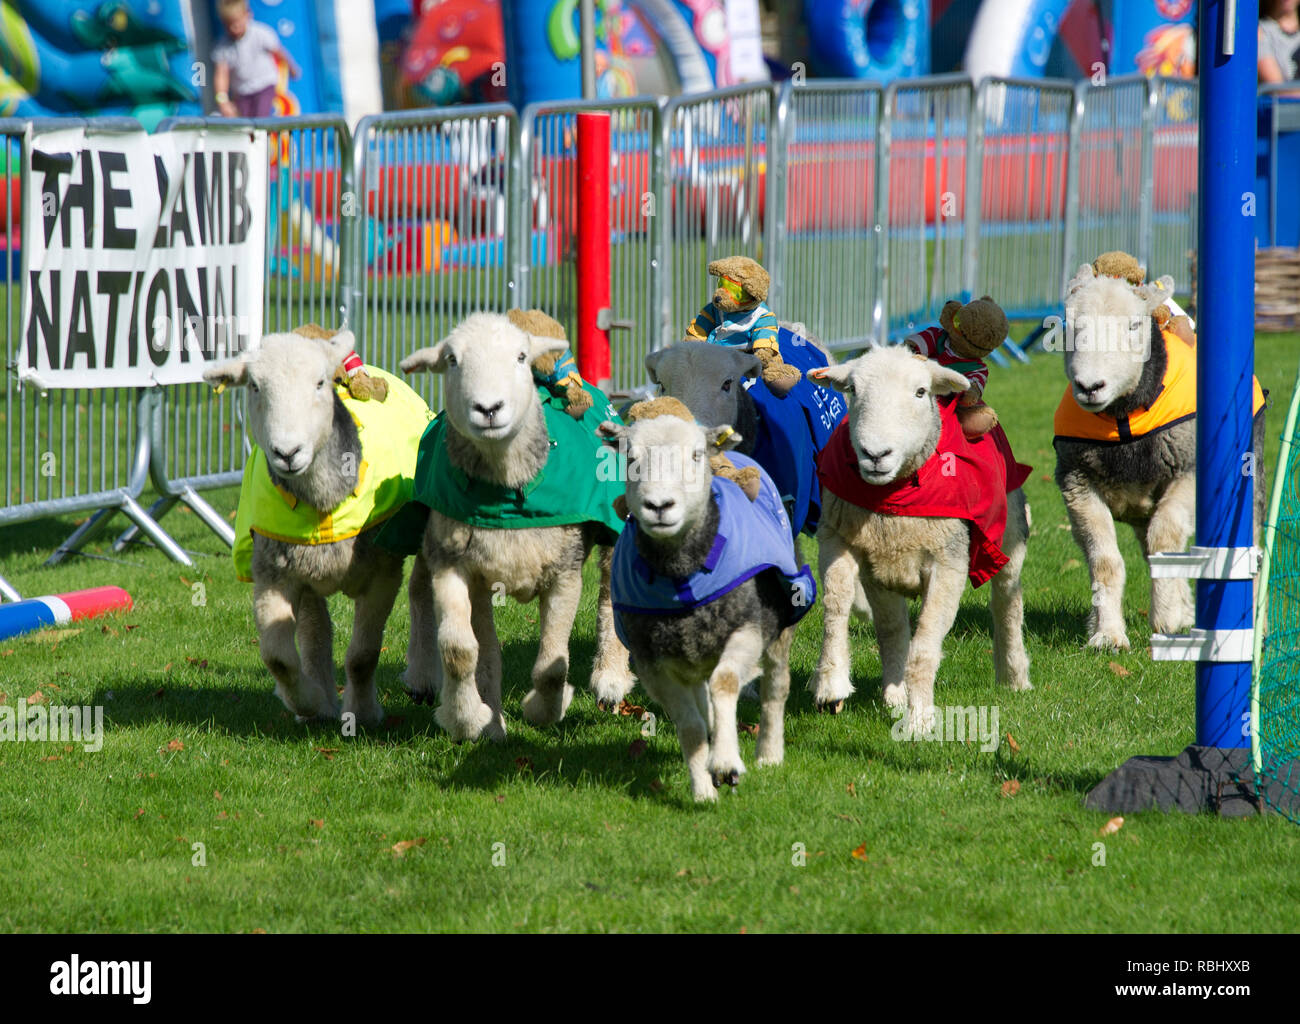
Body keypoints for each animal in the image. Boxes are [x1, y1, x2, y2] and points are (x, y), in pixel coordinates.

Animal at [204, 327, 435, 727]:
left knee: (422, 589)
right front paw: (307, 702)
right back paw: (322, 700)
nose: (287, 452)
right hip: (305, 567)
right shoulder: (273, 574)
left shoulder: (383, 574)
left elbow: (362, 656)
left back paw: (422, 678)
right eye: (254, 387)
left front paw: (363, 713)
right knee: (317, 632)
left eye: (319, 383)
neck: (325, 504)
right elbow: (279, 658)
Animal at [397, 312, 634, 742]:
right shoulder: (461, 567)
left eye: (521, 357)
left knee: (612, 591)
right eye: (451, 360)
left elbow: (553, 664)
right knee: (419, 585)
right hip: (433, 531)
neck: (506, 492)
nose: (488, 407)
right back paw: (422, 675)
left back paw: (610, 679)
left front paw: (543, 710)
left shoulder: (564, 573)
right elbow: (463, 652)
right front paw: (475, 720)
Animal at [598, 400, 814, 801]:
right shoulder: (652, 664)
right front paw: (703, 789)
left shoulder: (747, 630)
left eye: (696, 455)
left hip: (779, 626)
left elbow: (726, 683)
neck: (682, 573)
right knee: (705, 701)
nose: (659, 505)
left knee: (775, 687)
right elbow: (690, 726)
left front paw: (727, 764)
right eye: (630, 458)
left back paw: (769, 753)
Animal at [808, 345, 1032, 732]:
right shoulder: (845, 542)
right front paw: (831, 685)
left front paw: (920, 720)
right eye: (852, 389)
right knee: (893, 628)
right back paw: (895, 694)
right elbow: (840, 608)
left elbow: (925, 643)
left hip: (1010, 535)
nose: (875, 454)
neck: (894, 501)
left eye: (920, 392)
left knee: (1007, 602)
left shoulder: (948, 564)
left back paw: (1014, 676)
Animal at [1053, 270, 1266, 650]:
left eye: (1134, 325)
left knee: (1251, 547)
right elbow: (1106, 561)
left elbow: (1166, 540)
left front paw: (1165, 621)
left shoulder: (1190, 473)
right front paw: (1107, 634)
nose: (1090, 386)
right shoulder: (1076, 482)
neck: (1124, 421)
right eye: (1071, 324)